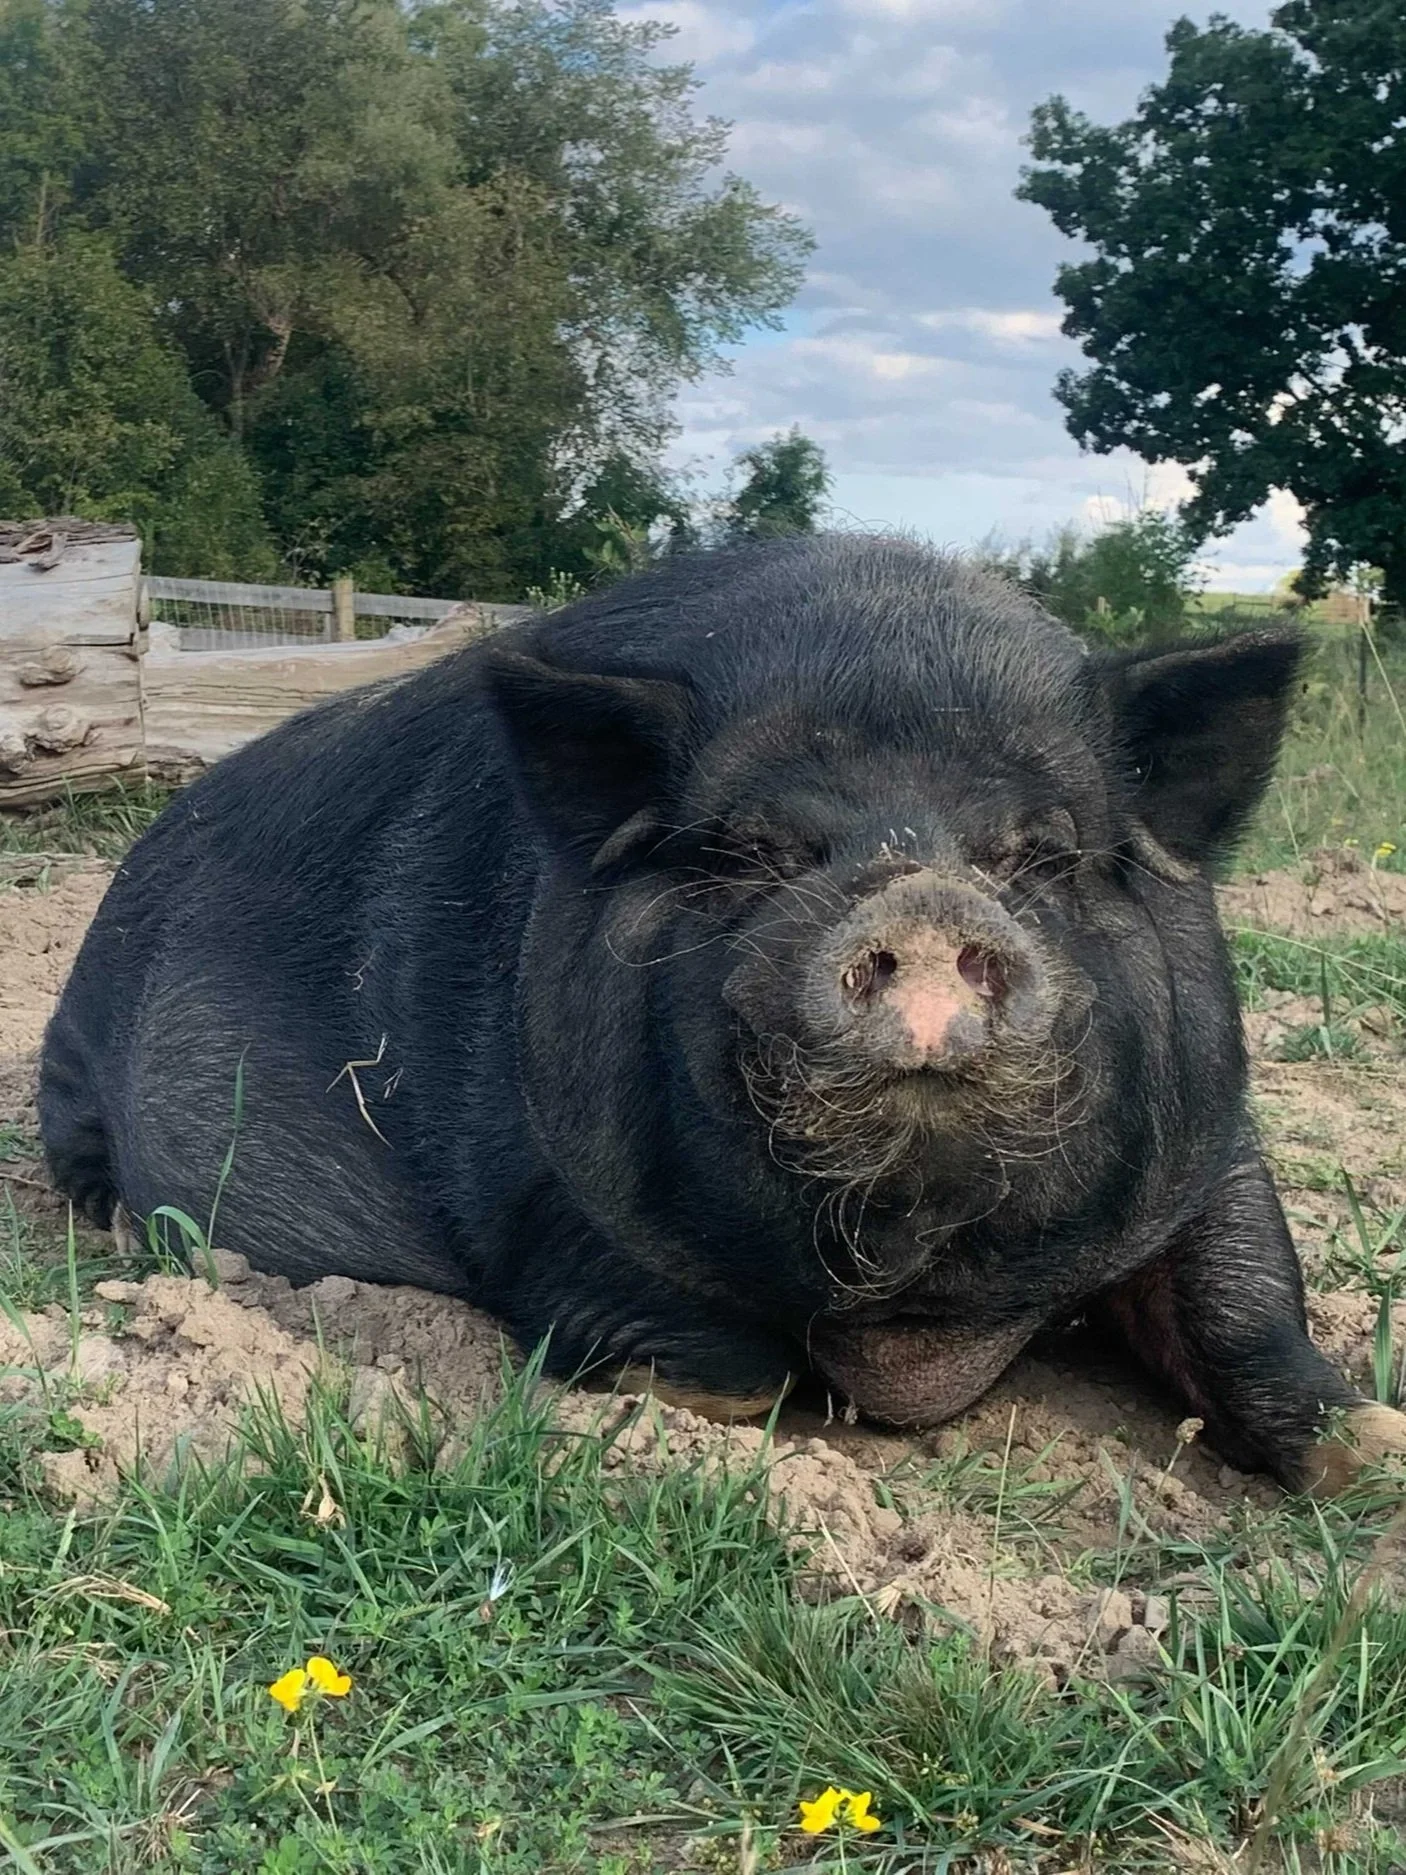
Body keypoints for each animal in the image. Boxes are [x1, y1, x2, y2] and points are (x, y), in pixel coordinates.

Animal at [38, 535, 1406, 1494]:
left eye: (1039, 852)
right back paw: (119, 1225)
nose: (918, 897)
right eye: (753, 852)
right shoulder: (530, 1174)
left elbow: (1241, 1291)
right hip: (69, 1054)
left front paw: (1364, 1451)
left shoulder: (1205, 1137)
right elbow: (717, 1358)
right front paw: (685, 1402)